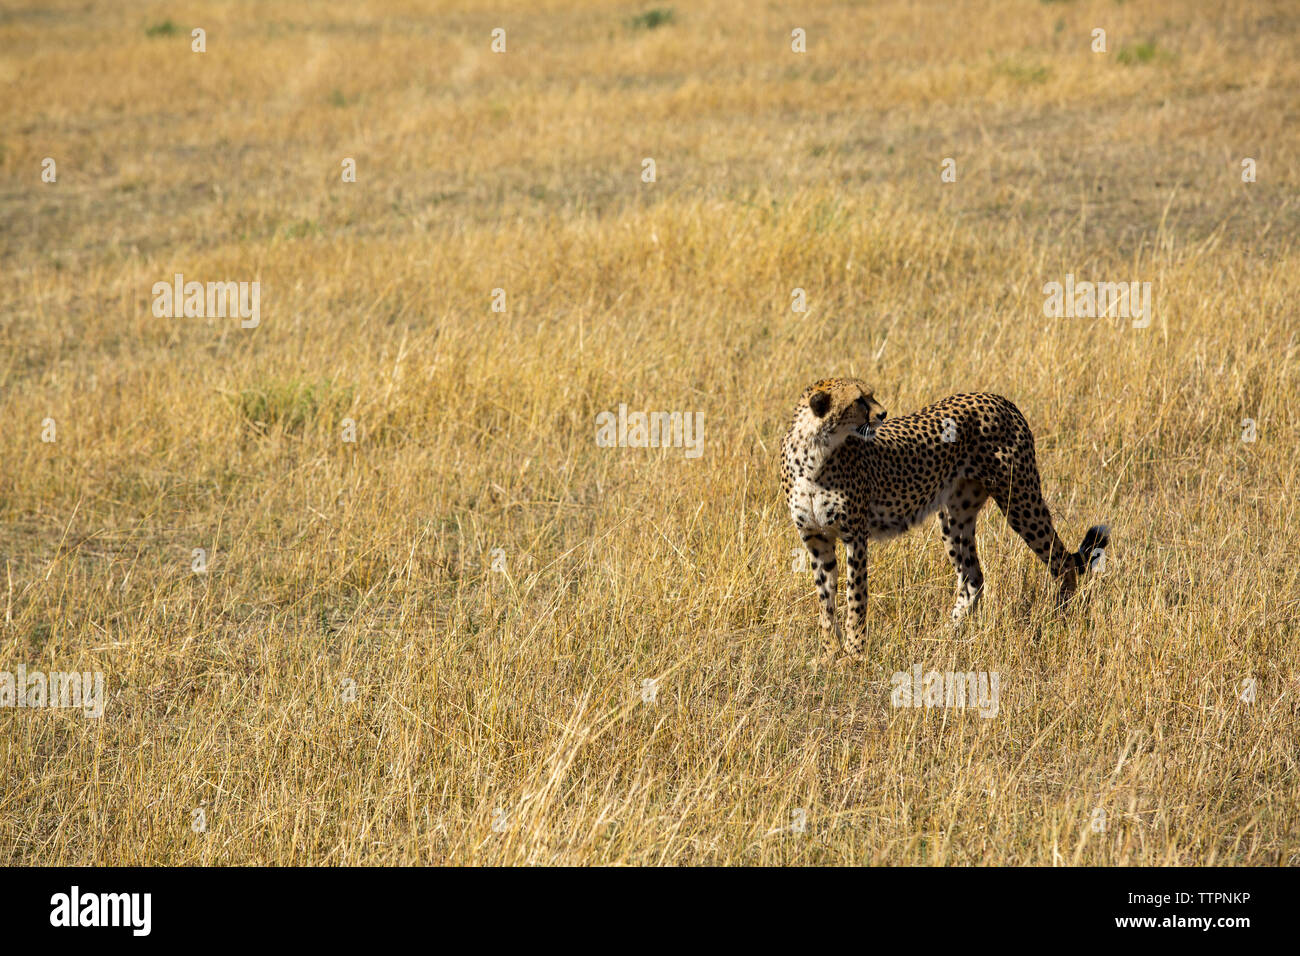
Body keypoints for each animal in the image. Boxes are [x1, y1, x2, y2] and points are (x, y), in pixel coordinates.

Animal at [780, 377, 1110, 662]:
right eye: (859, 400)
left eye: (869, 395)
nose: (883, 413)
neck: (815, 452)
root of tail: (997, 398)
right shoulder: (815, 540)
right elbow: (825, 602)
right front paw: (828, 654)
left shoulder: (854, 536)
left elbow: (856, 598)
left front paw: (855, 653)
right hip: (955, 516)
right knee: (973, 577)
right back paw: (947, 635)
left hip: (1019, 498)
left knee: (1062, 561)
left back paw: (1060, 619)